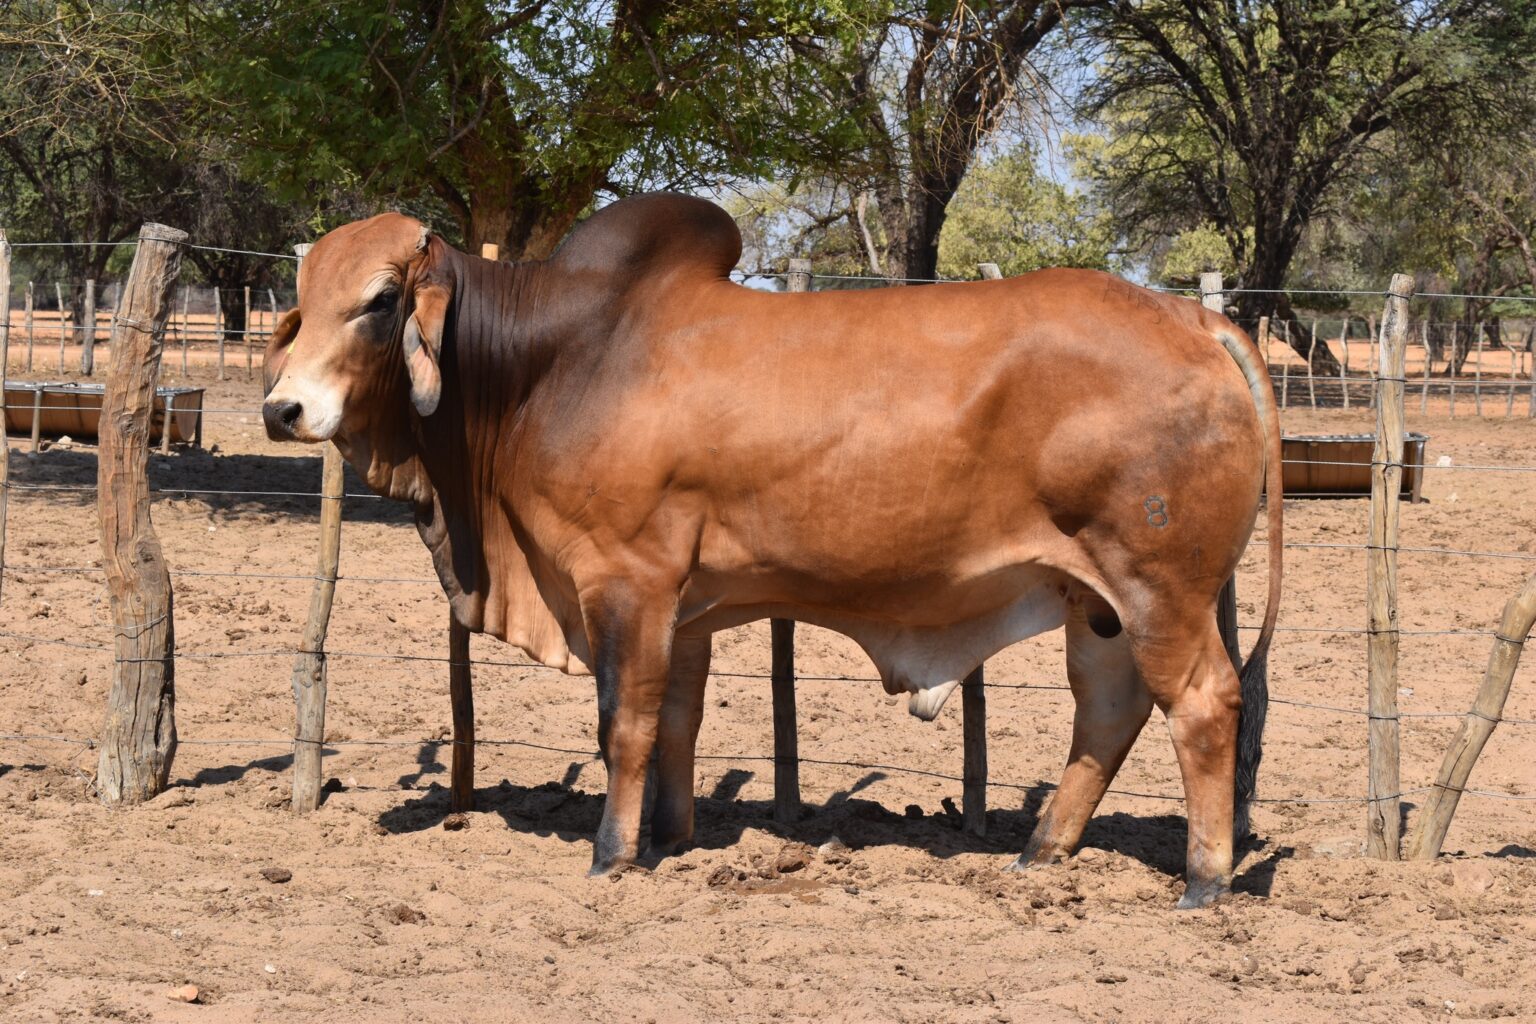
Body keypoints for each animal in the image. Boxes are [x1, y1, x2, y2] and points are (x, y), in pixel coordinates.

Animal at [262, 193, 1281, 909]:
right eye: (303, 302)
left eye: (380, 301)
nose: (284, 408)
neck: (547, 362)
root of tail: (1189, 318)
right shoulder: (686, 607)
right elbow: (674, 723)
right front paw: (670, 838)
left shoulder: (625, 581)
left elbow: (621, 726)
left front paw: (610, 855)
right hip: (1094, 603)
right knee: (1108, 715)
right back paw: (1040, 851)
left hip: (1159, 588)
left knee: (1203, 703)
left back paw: (1203, 880)